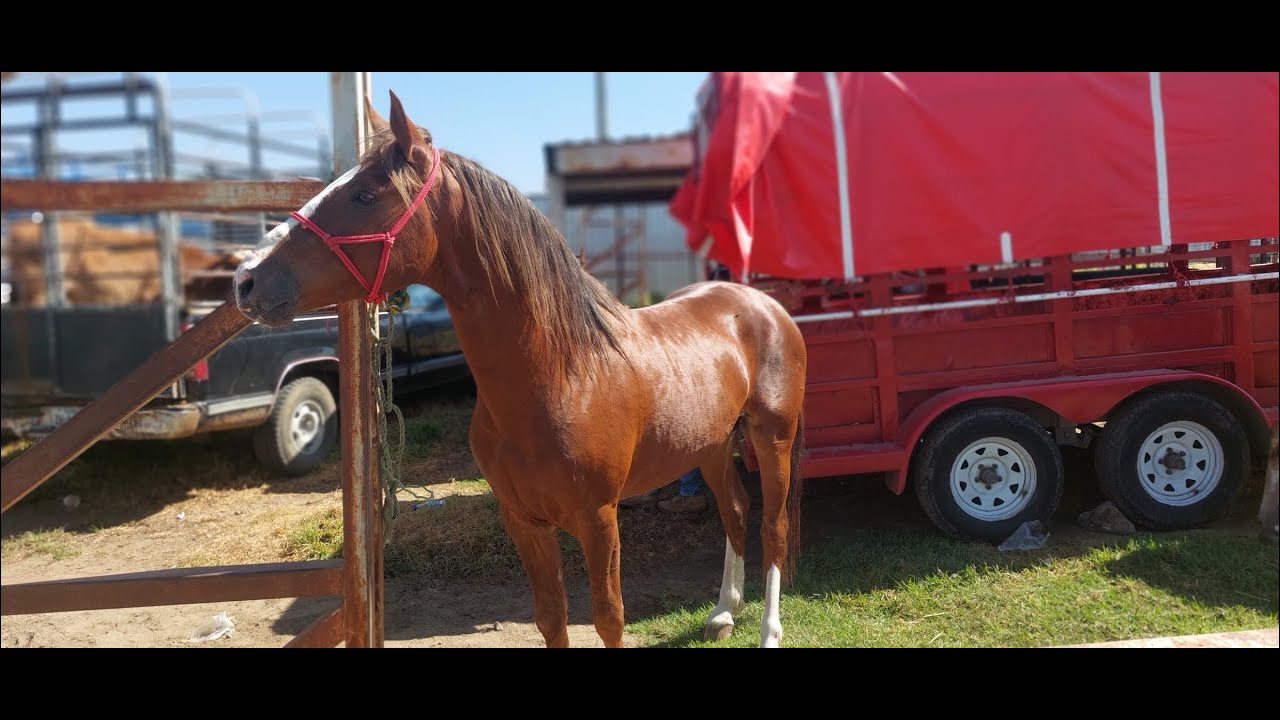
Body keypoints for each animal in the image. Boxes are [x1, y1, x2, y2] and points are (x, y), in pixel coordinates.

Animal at [233, 91, 808, 648]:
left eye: (365, 197)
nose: (246, 279)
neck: (560, 379)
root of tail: (760, 303)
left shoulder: (598, 520)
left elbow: (609, 620)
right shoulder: (524, 521)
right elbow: (551, 619)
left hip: (772, 438)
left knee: (773, 528)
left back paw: (769, 631)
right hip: (711, 443)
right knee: (735, 511)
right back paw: (722, 613)